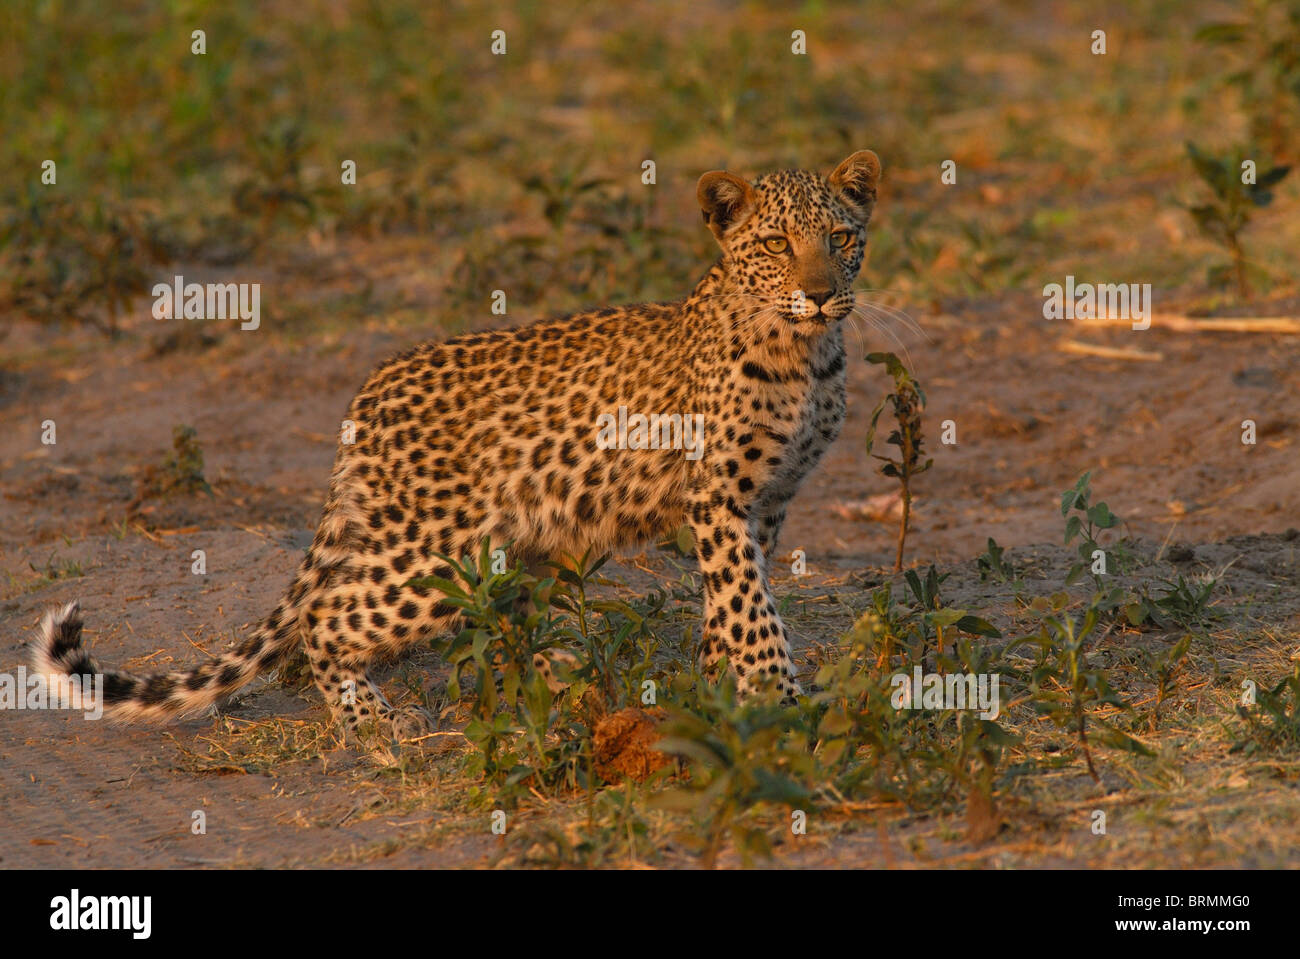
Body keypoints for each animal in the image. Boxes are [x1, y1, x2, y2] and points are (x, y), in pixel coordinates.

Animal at [32, 149, 883, 741]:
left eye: (841, 237)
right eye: (775, 244)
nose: (819, 292)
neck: (808, 355)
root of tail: (368, 391)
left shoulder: (768, 501)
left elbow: (733, 604)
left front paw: (713, 689)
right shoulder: (718, 494)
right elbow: (751, 609)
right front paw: (780, 702)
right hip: (439, 550)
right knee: (327, 617)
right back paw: (374, 726)